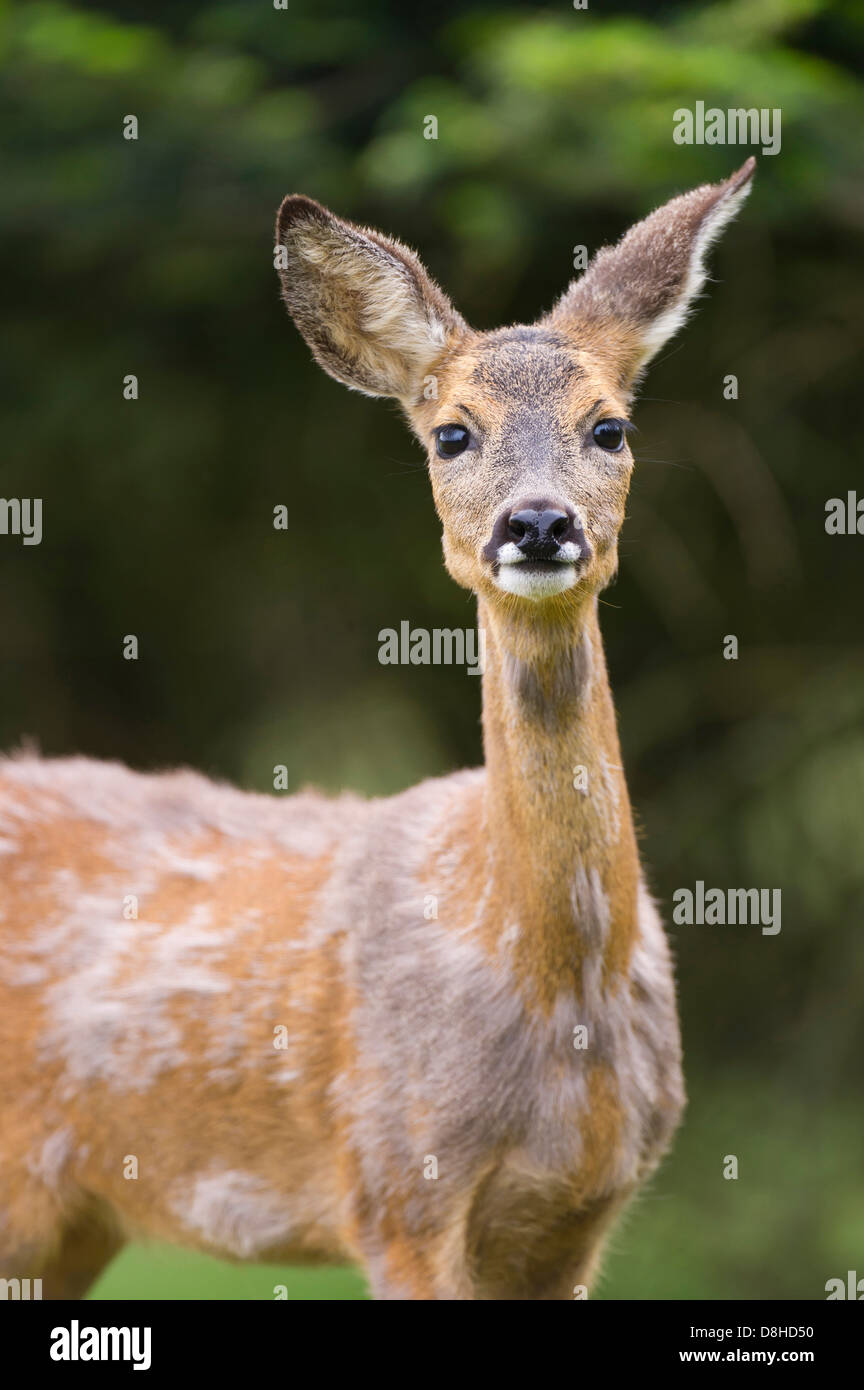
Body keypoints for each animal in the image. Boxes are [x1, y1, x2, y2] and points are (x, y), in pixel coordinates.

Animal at [0, 158, 754, 1301]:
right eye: (452, 433)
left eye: (610, 428)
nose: (539, 523)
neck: (556, 979)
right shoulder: (397, 1184)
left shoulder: (581, 1215)